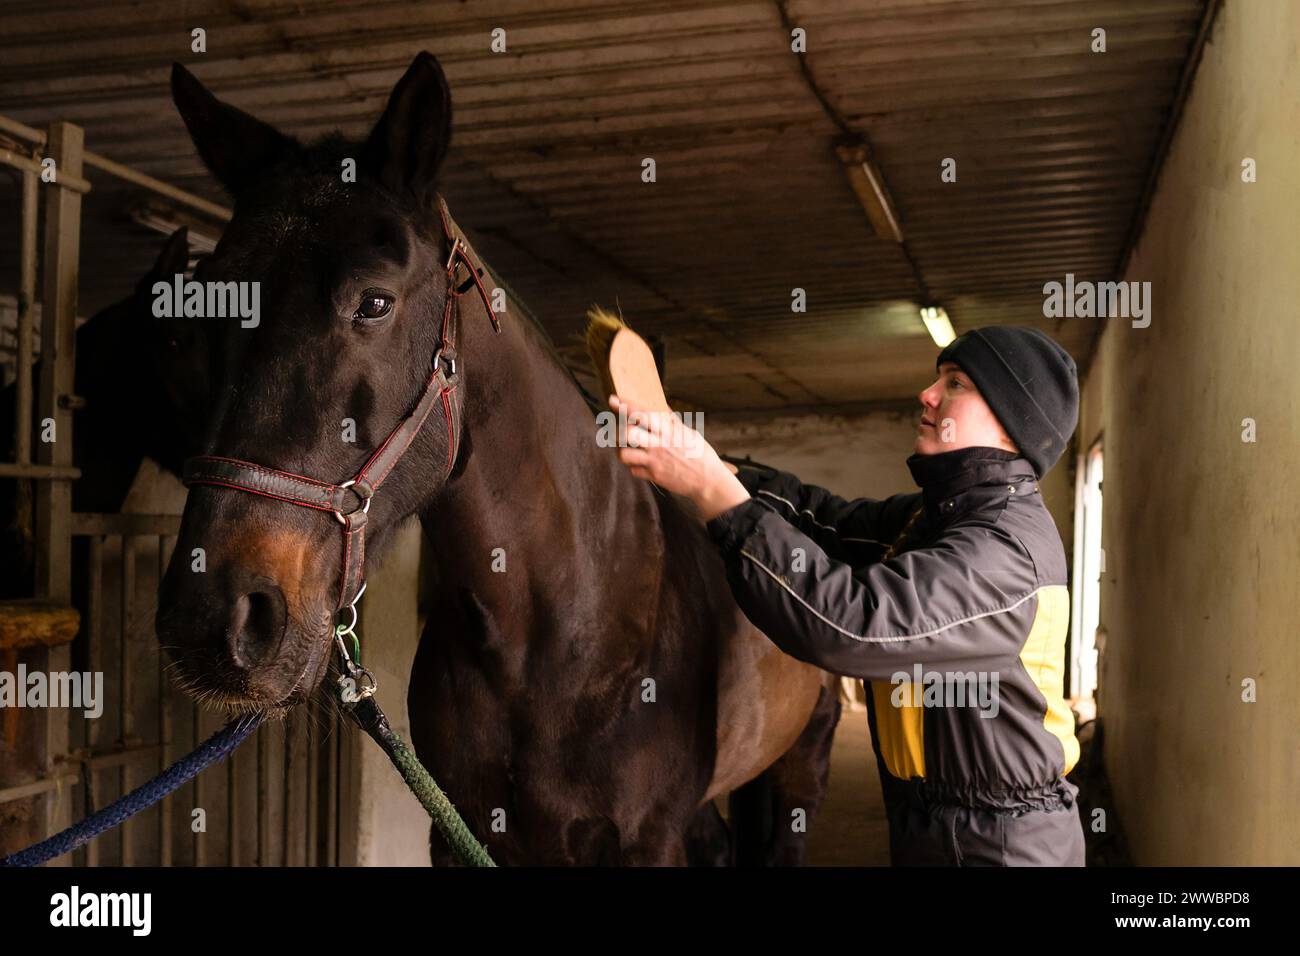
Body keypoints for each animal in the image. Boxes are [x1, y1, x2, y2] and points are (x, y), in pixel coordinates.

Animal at [154, 52, 842, 866]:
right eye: (202, 312)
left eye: (375, 303)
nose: (214, 615)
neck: (558, 636)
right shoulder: (461, 833)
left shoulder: (648, 841)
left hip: (799, 771)